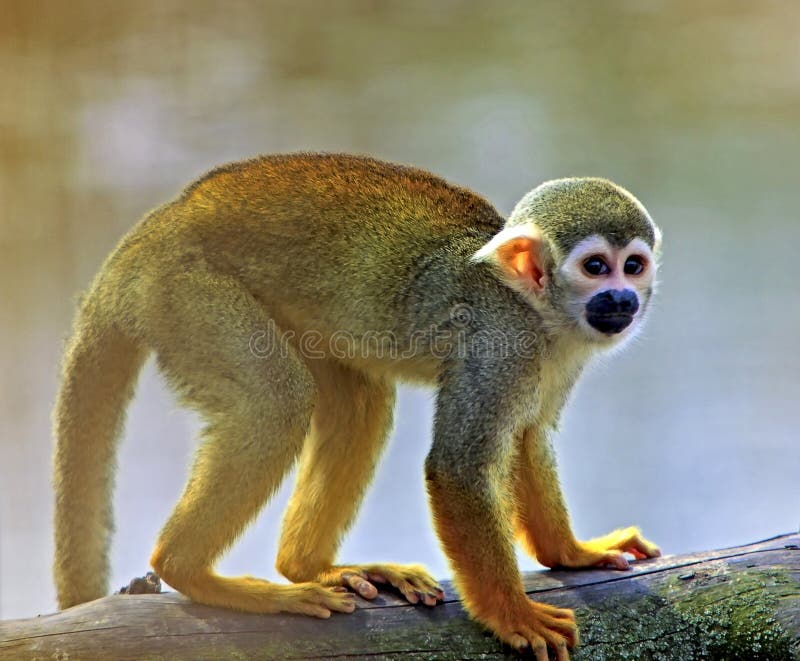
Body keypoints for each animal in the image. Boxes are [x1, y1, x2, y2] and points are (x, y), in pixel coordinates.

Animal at [53, 153, 662, 660]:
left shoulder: (556, 357)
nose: (623, 299)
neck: (538, 312)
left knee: (361, 404)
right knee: (276, 401)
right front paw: (511, 615)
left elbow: (528, 435)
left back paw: (310, 567)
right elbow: (459, 467)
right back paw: (194, 572)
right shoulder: (500, 341)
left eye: (632, 266)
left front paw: (571, 552)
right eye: (595, 267)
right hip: (185, 293)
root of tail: (152, 231)